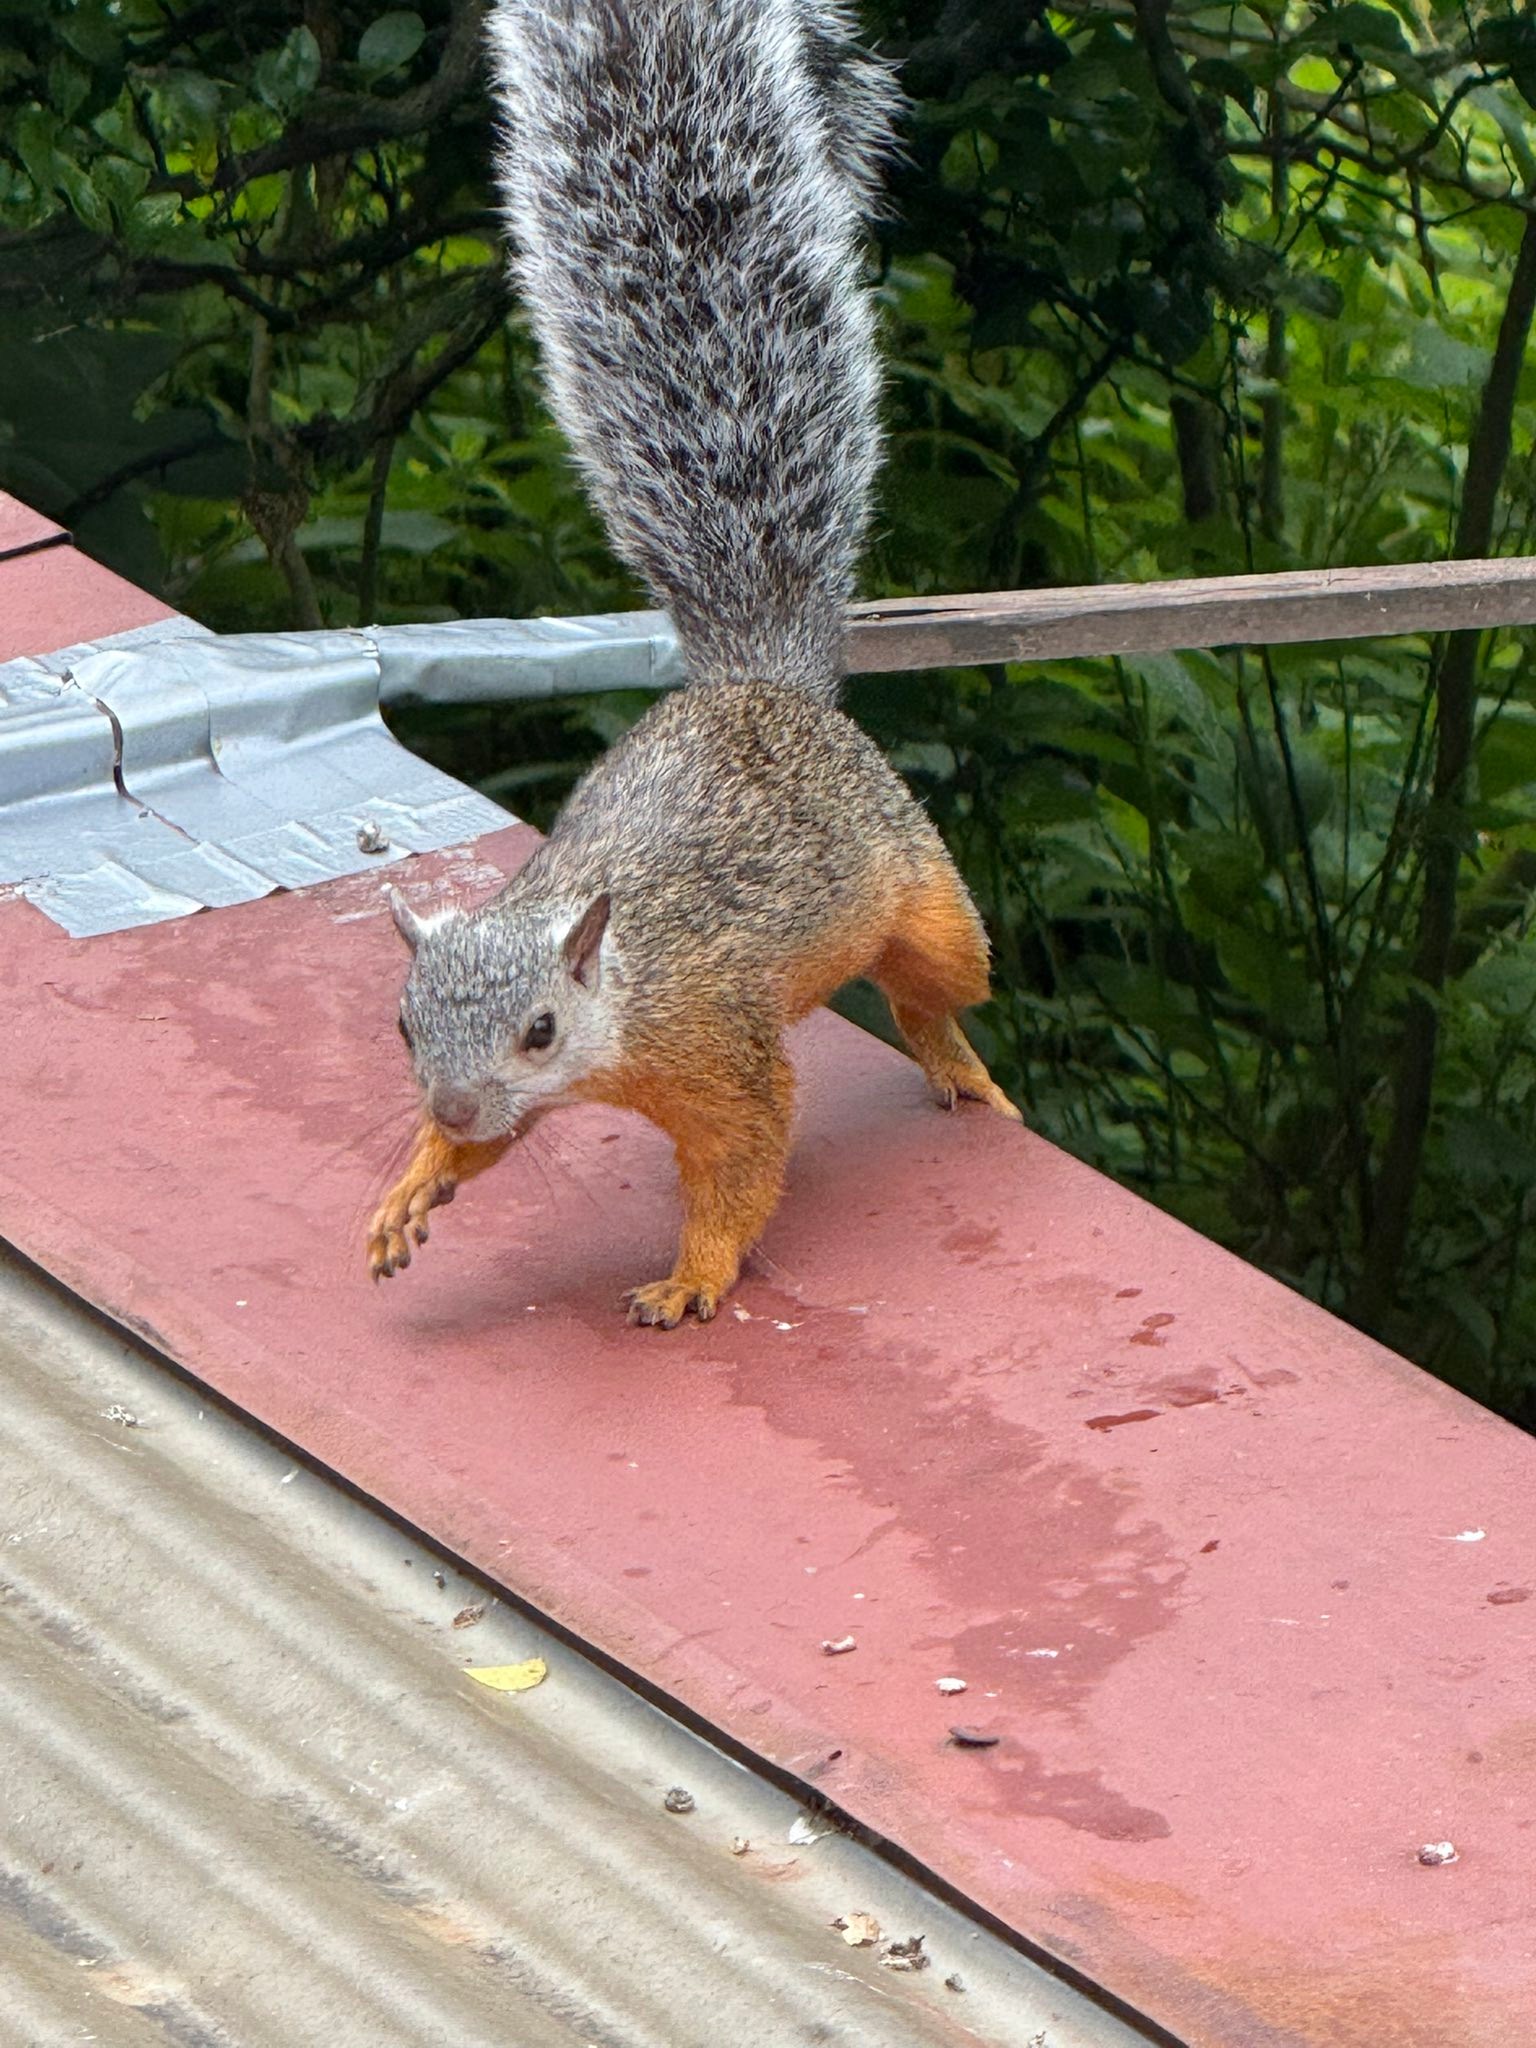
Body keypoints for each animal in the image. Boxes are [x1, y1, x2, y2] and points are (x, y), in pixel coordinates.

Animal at [366, 0, 1021, 1328]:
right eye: (403, 1026)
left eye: (541, 1028)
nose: (447, 1100)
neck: (619, 998)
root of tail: (765, 678)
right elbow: (496, 1146)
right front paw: (419, 1177)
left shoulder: (722, 1046)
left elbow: (743, 1163)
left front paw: (690, 1279)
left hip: (923, 887)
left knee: (934, 984)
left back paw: (960, 1061)